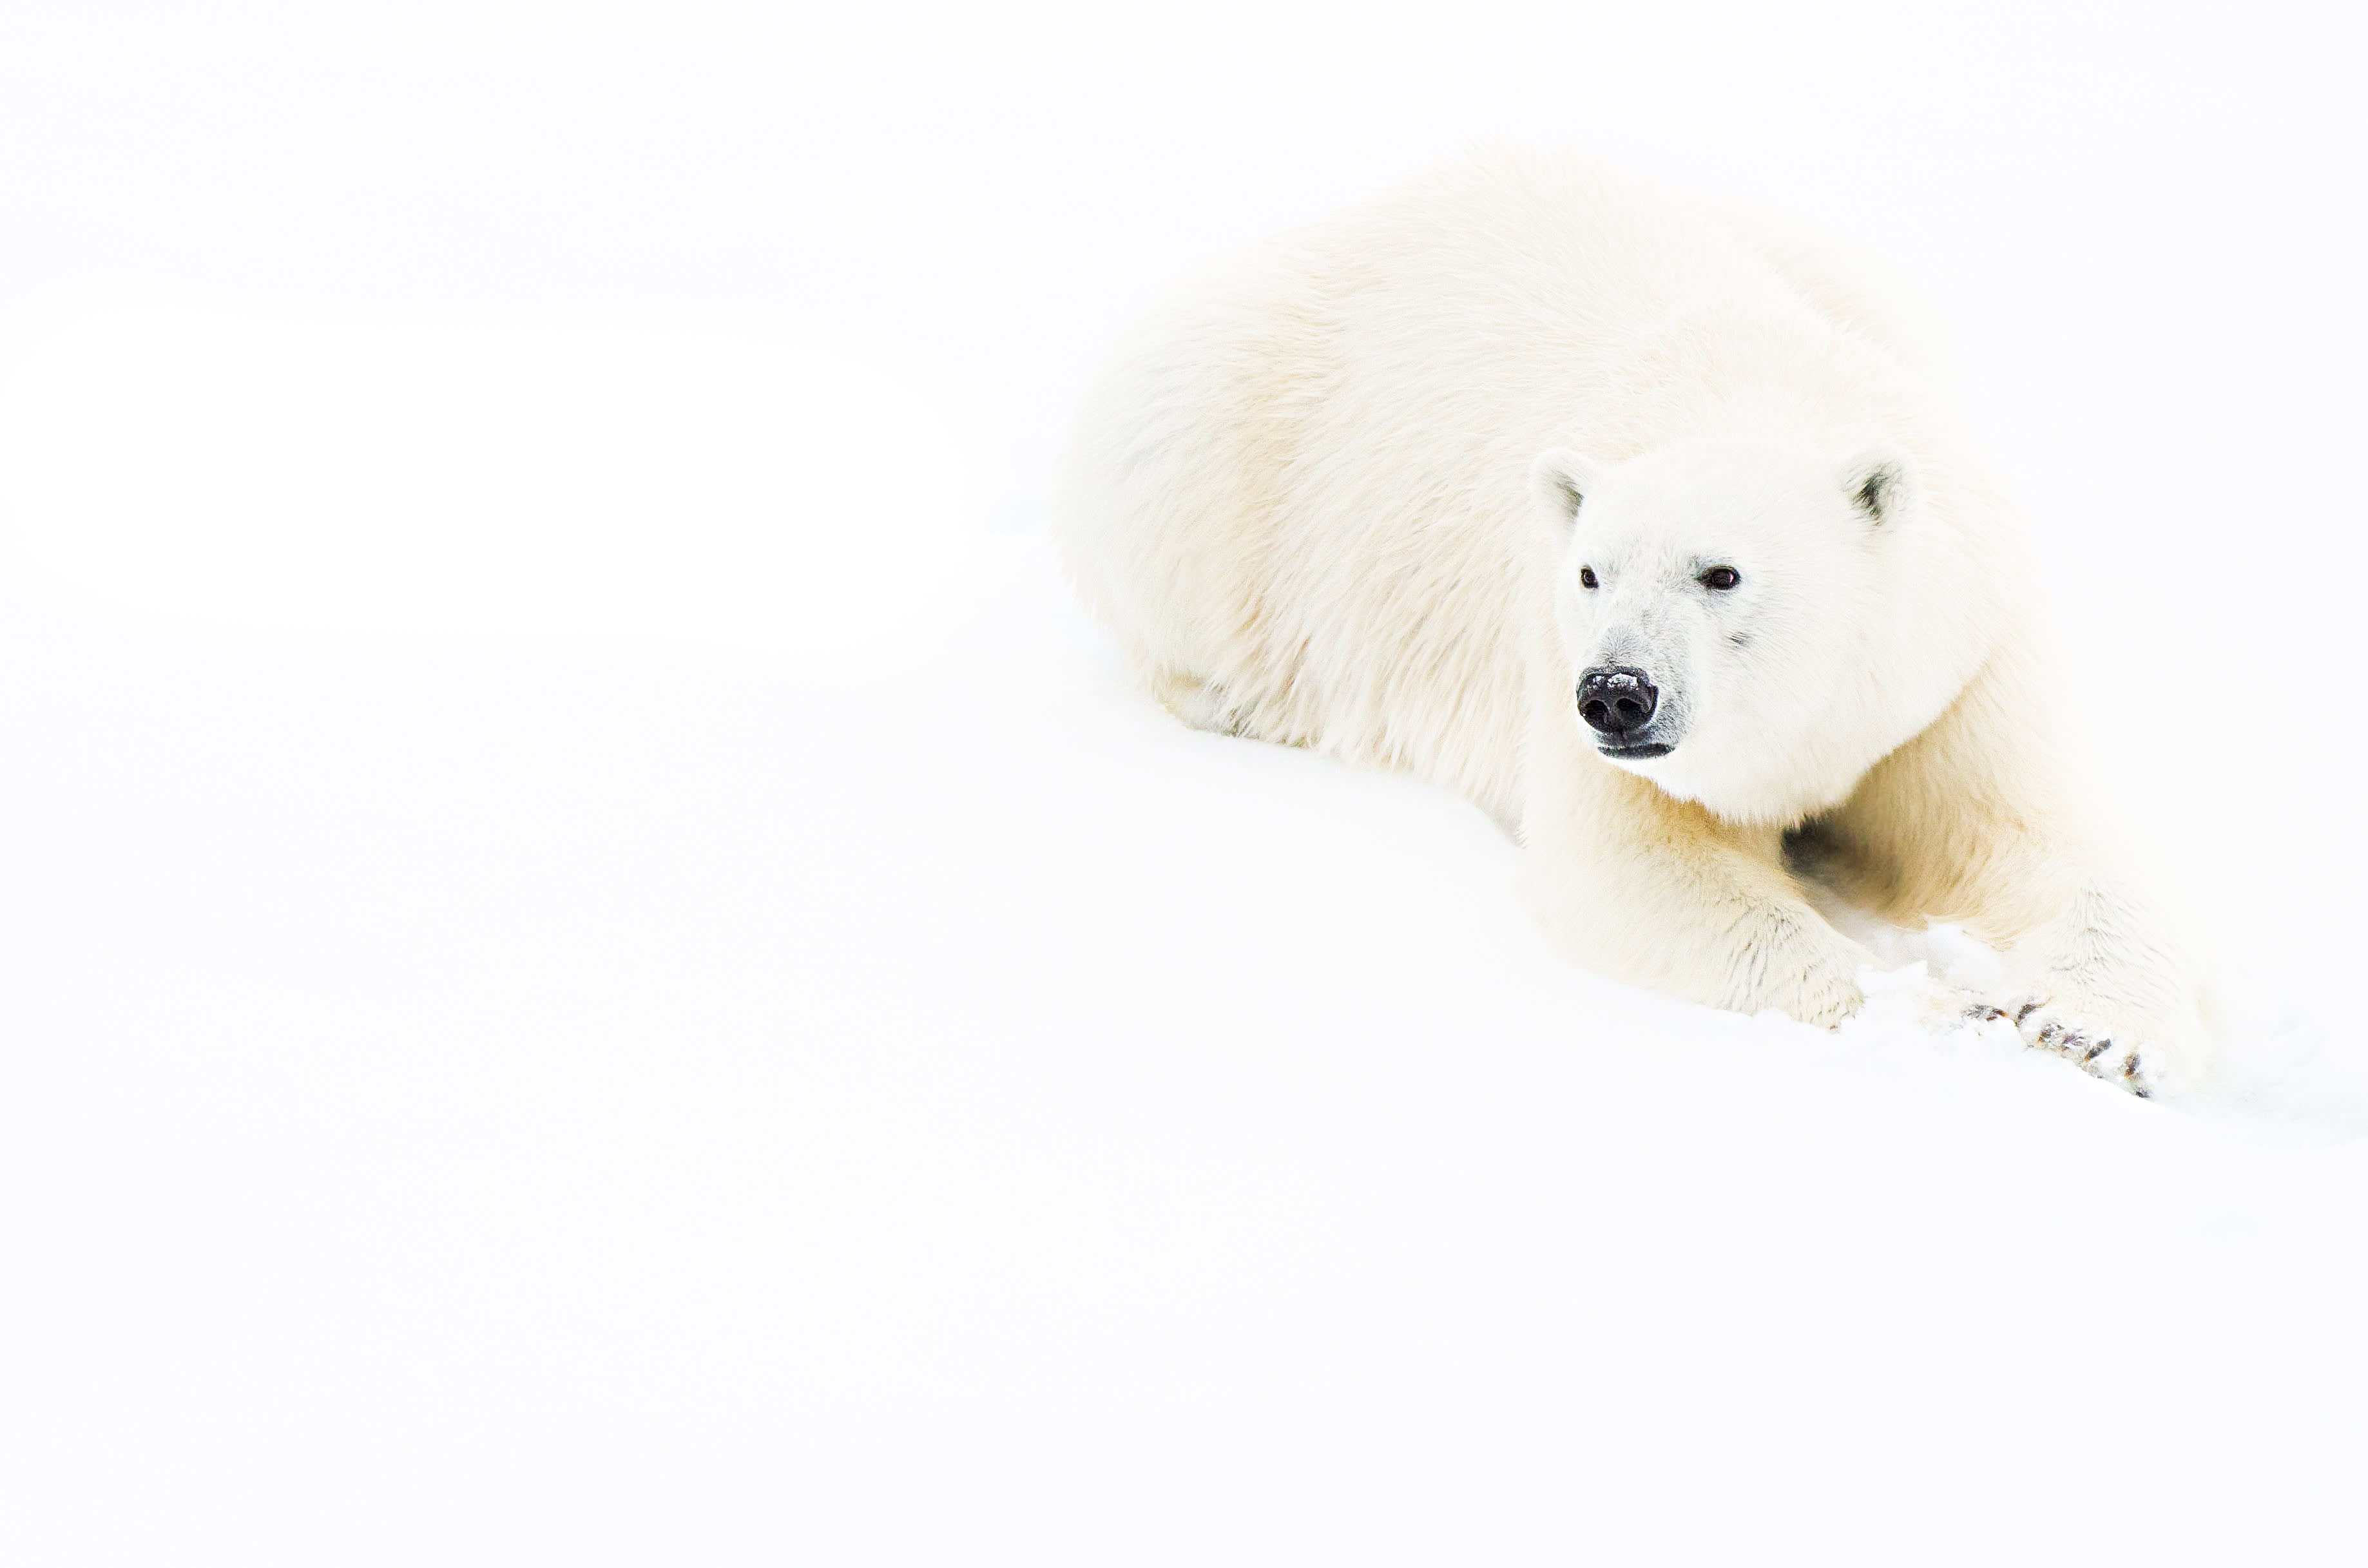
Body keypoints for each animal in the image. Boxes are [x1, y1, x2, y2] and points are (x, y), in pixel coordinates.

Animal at [1052, 144, 2205, 1097]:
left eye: (1720, 573)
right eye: (1589, 574)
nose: (1615, 694)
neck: (1748, 386)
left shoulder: (1952, 663)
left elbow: (2033, 832)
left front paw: (2085, 1028)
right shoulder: (1550, 676)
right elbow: (1640, 869)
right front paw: (1940, 1012)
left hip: (1856, 275)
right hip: (1221, 434)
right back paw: (1241, 701)